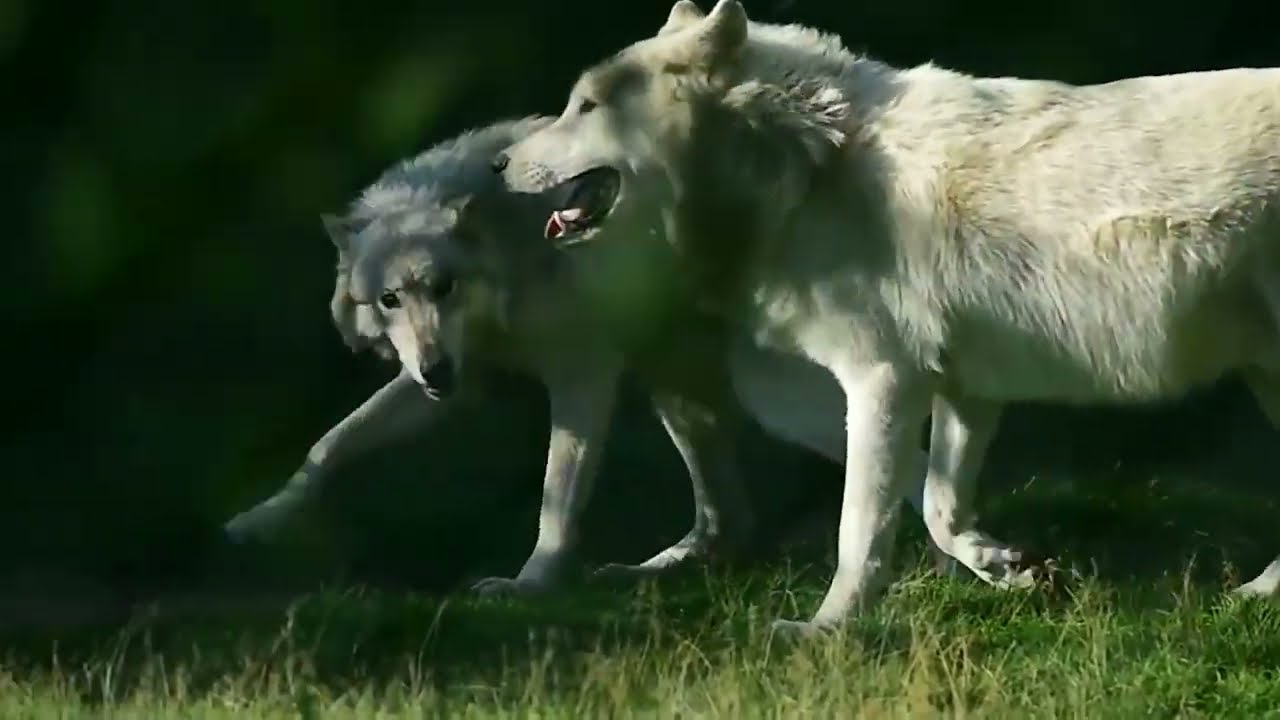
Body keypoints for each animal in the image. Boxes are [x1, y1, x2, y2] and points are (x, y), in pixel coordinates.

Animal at [222, 117, 955, 594]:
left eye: (444, 287)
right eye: (389, 300)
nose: (434, 370)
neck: (514, 249)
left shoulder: (583, 378)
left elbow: (556, 498)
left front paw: (529, 584)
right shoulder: (453, 384)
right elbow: (327, 446)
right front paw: (258, 521)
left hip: (782, 404)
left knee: (912, 466)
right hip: (679, 396)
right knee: (728, 519)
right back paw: (652, 569)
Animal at [496, 0, 1280, 633]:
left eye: (585, 107)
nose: (500, 162)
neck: (806, 172)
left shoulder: (881, 381)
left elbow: (860, 535)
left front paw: (825, 630)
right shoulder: (965, 388)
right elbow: (938, 508)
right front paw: (1008, 566)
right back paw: (1257, 595)